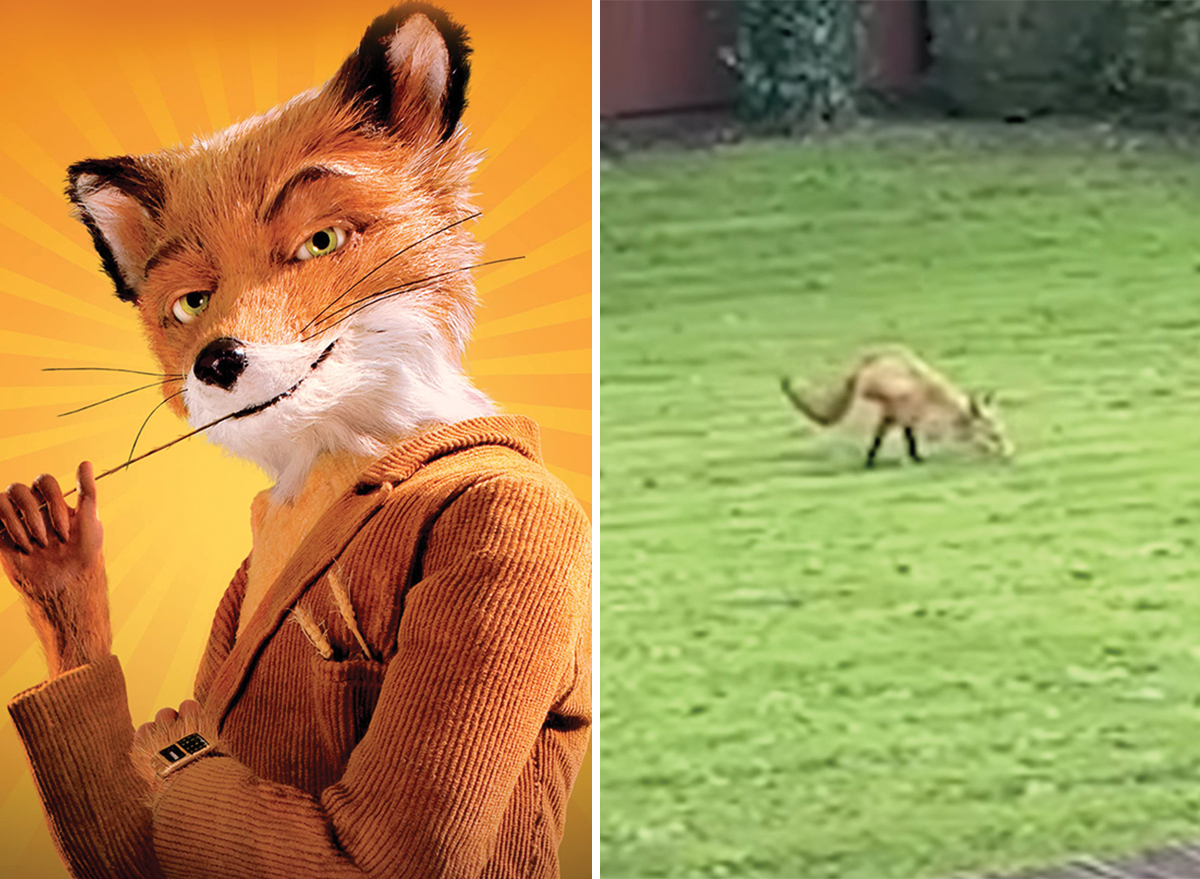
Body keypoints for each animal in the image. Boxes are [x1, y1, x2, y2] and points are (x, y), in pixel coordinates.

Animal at [780, 347, 1013, 468]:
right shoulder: (899, 410)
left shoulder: (906, 415)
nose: (1009, 454)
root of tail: (865, 361)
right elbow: (896, 437)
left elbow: (909, 437)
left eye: (1001, 433)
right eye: (994, 436)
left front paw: (916, 457)